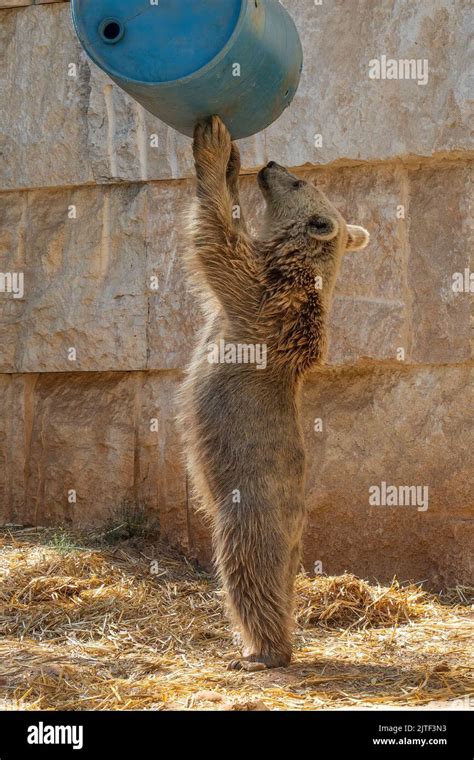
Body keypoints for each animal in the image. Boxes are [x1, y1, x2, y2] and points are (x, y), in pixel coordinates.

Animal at [177, 116, 370, 671]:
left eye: (300, 182)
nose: (271, 164)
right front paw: (231, 160)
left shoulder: (256, 297)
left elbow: (215, 238)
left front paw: (212, 147)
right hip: (288, 534)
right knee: (282, 578)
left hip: (248, 504)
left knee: (247, 567)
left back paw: (260, 650)